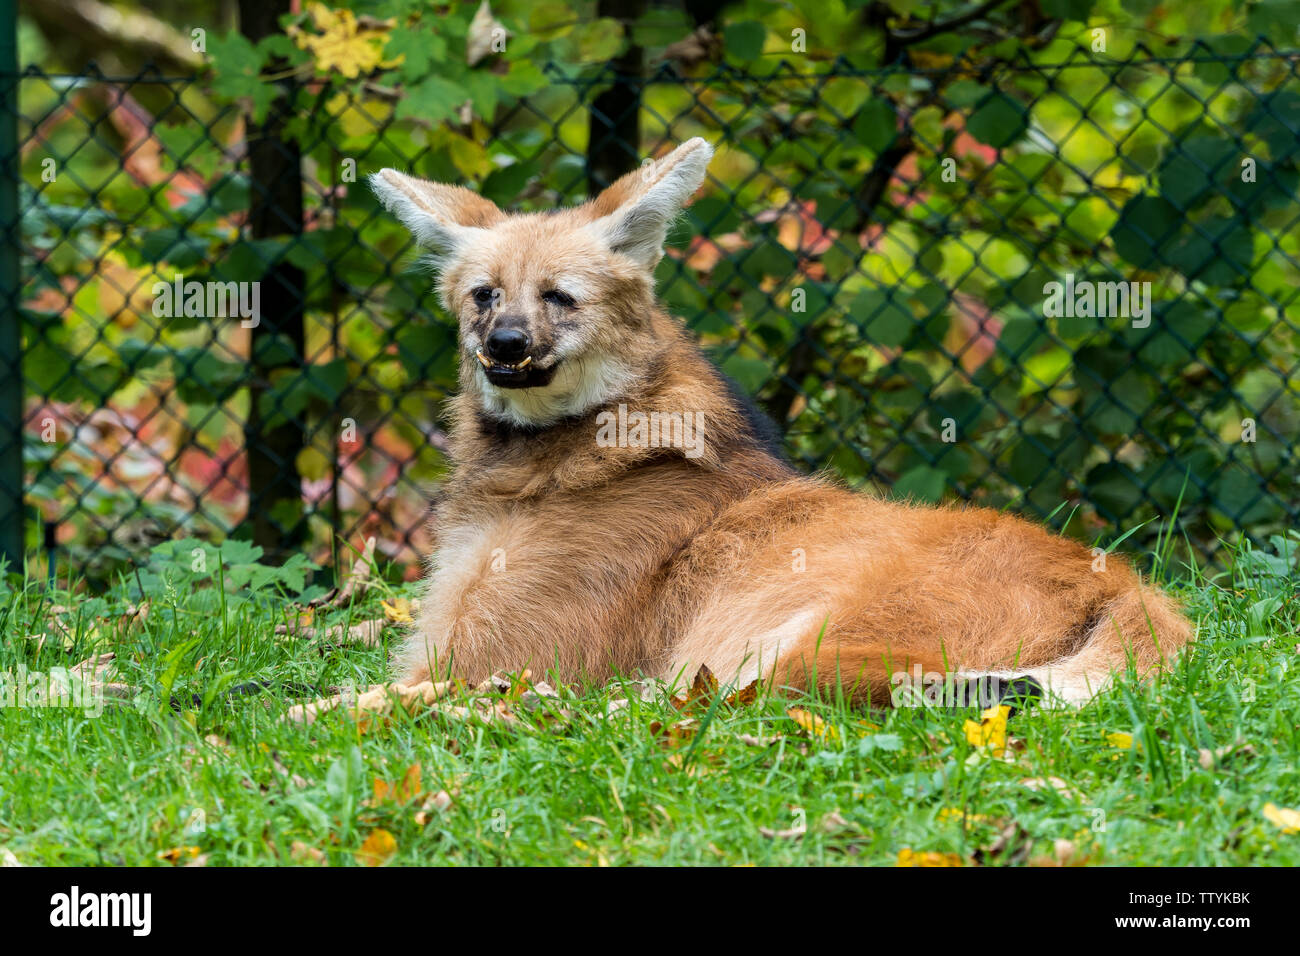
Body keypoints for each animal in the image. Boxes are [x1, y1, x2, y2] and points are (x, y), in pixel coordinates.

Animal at [371, 138, 1192, 707]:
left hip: (807, 646)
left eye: (559, 298)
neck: (551, 459)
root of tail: (1127, 583)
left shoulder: (502, 657)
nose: (504, 346)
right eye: (484, 295)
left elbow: (386, 694)